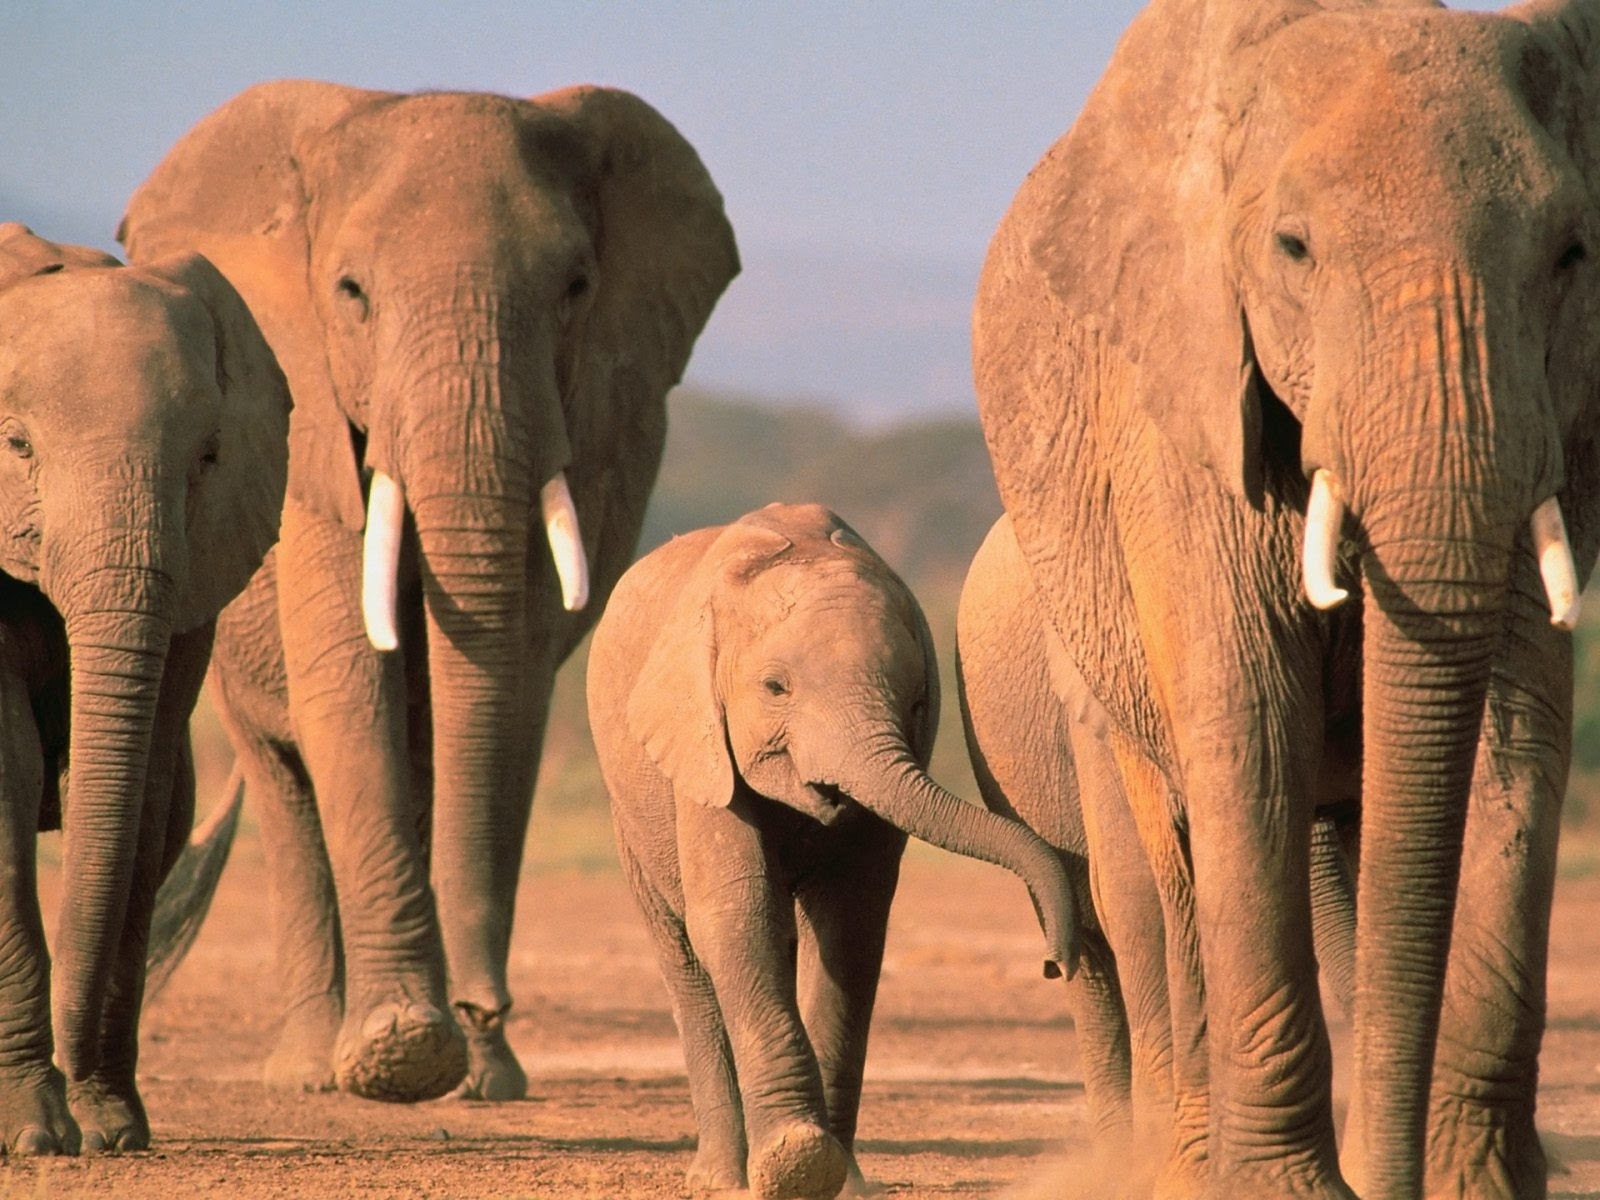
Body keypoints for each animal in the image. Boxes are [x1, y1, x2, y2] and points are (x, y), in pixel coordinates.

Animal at [0, 224, 289, 1153]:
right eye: (17, 446)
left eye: (207, 457)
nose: (85, 1125)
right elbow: (8, 777)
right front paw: (38, 1135)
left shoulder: (205, 557)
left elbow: (151, 793)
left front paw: (108, 1127)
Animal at [119, 81, 739, 1103]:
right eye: (351, 294)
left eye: (575, 288)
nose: (487, 1005)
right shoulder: (308, 422)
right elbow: (345, 677)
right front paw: (400, 1054)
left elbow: (511, 686)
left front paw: (474, 1069)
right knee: (285, 784)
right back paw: (311, 1070)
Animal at [586, 503, 1080, 1200]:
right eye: (775, 688)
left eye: (917, 700)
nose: (1053, 964)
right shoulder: (701, 747)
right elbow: (738, 920)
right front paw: (795, 1162)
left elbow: (851, 926)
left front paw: (835, 1180)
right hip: (628, 809)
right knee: (684, 958)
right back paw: (719, 1178)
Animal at [972, 2, 1600, 1197]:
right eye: (1293, 249)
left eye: (1570, 255)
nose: (1390, 1184)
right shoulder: (1179, 404)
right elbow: (1249, 717)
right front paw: (1285, 1188)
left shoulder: (1568, 416)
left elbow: (1514, 739)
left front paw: (1476, 1183)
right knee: (1164, 868)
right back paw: (1181, 1163)